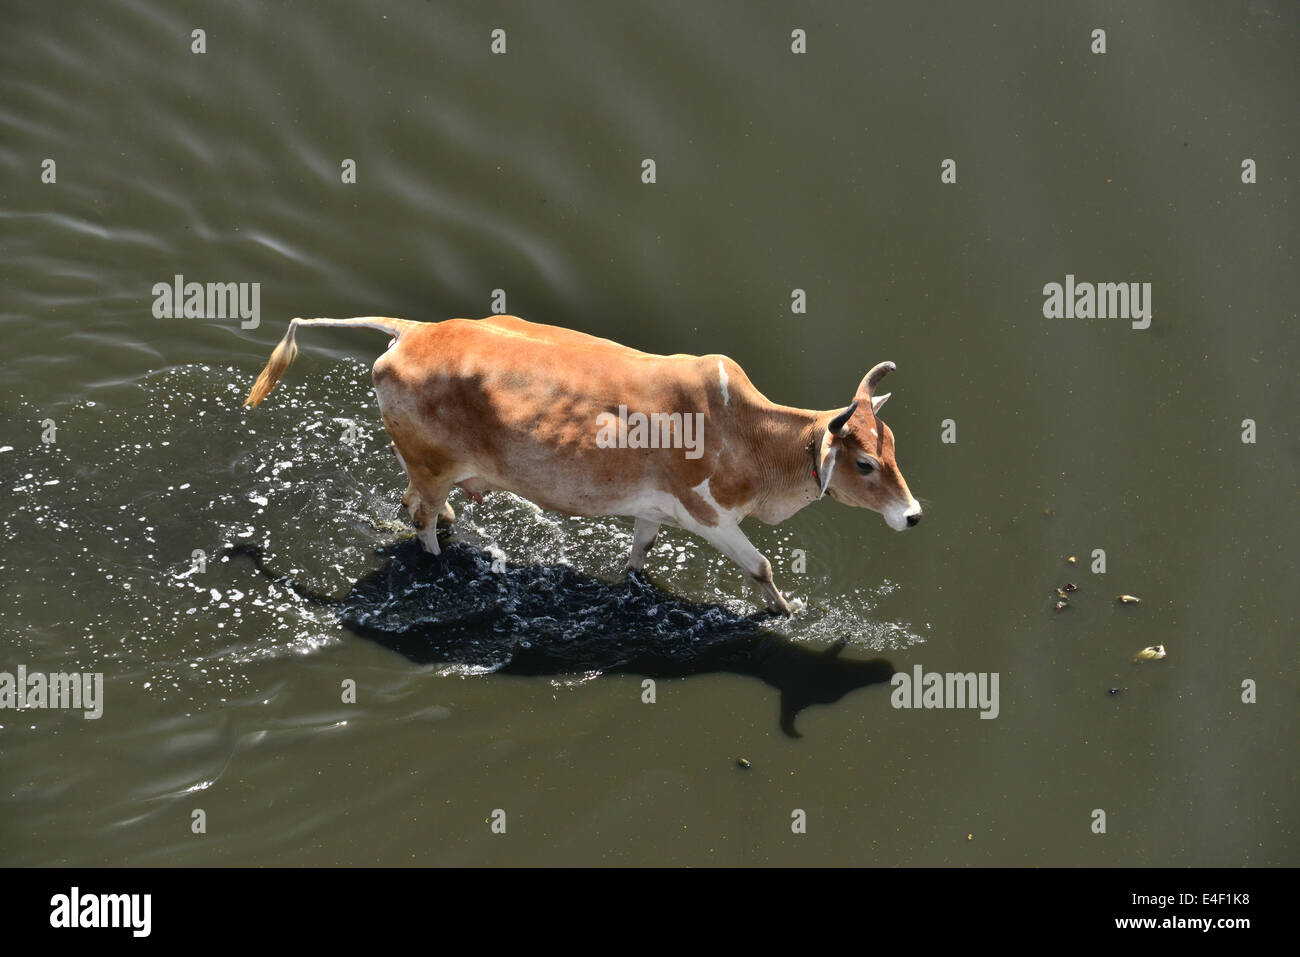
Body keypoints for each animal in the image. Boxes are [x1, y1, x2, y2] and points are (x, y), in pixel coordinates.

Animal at [243, 315, 922, 615]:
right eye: (864, 463)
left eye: (891, 448)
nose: (914, 515)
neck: (744, 432)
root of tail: (412, 330)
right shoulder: (710, 517)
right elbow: (761, 566)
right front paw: (787, 613)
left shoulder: (656, 510)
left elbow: (640, 552)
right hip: (429, 468)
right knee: (422, 519)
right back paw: (439, 560)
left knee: (421, 508)